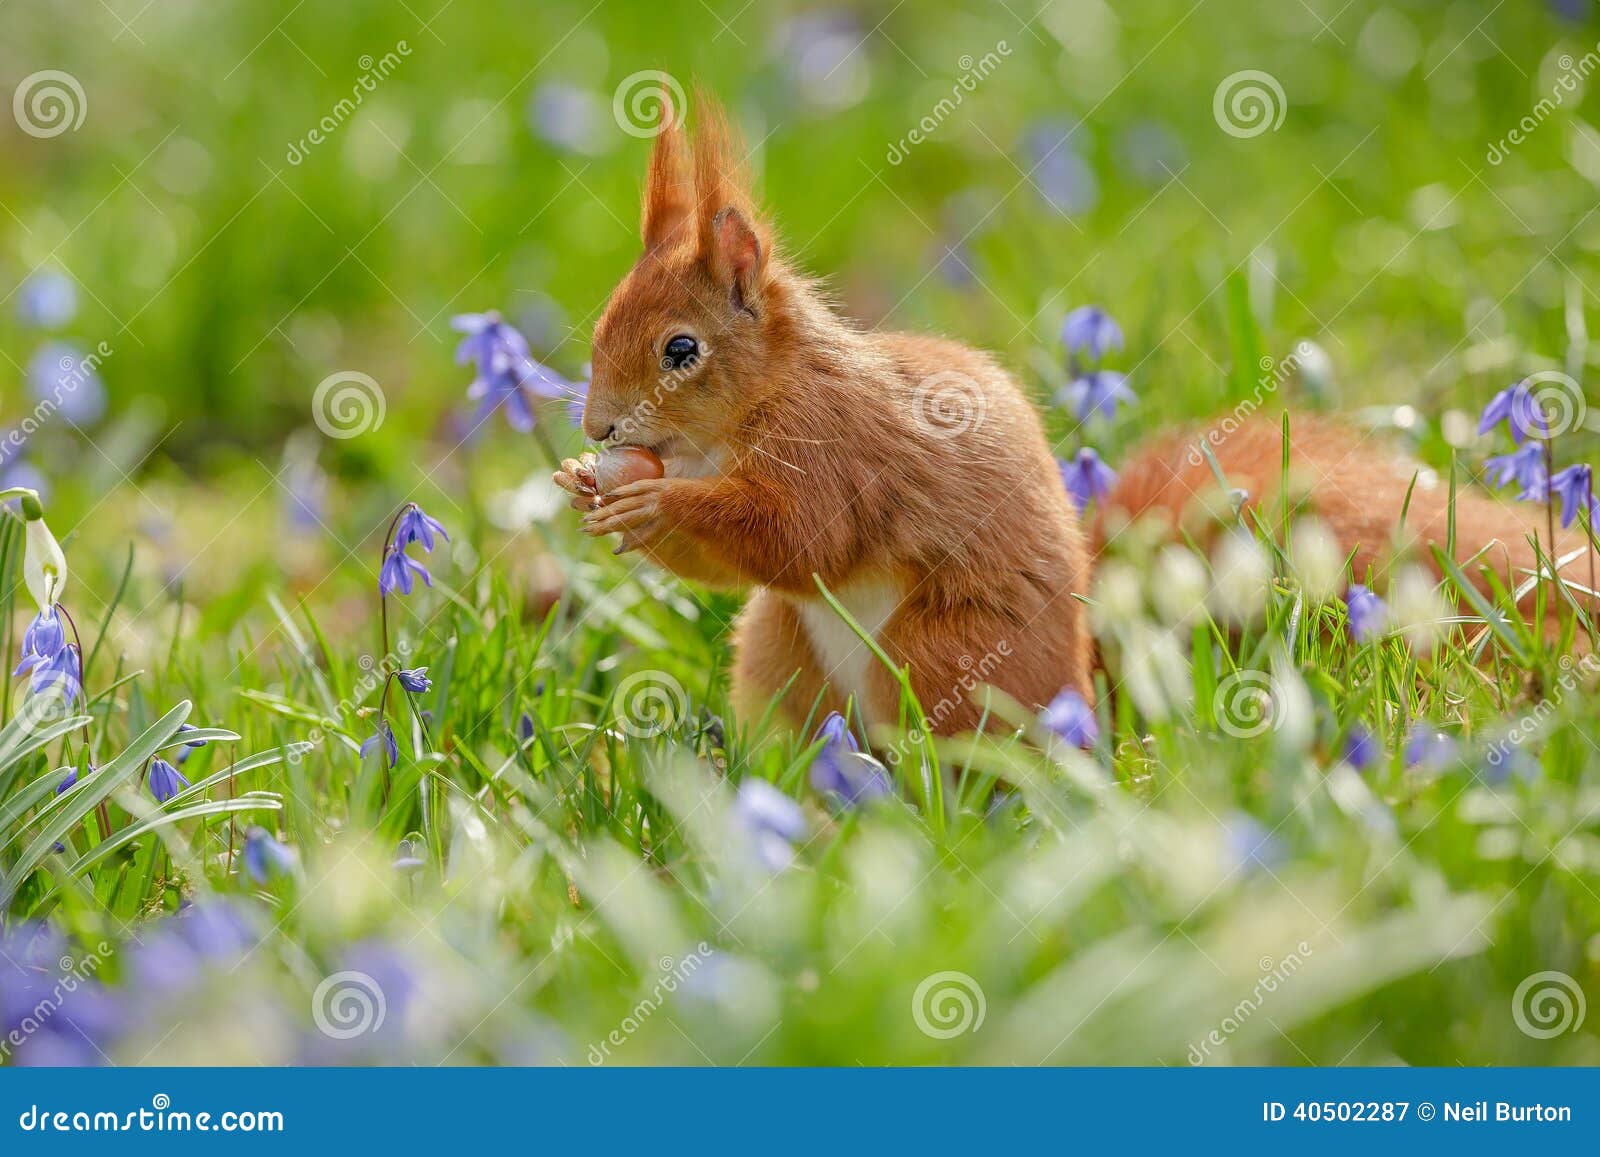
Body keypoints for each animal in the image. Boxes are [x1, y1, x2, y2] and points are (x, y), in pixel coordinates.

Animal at [554, 95, 1580, 737]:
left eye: (681, 350)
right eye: (603, 319)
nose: (597, 429)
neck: (747, 410)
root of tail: (1088, 690)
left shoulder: (838, 450)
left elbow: (801, 535)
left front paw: (653, 507)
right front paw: (585, 492)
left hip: (942, 653)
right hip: (780, 652)